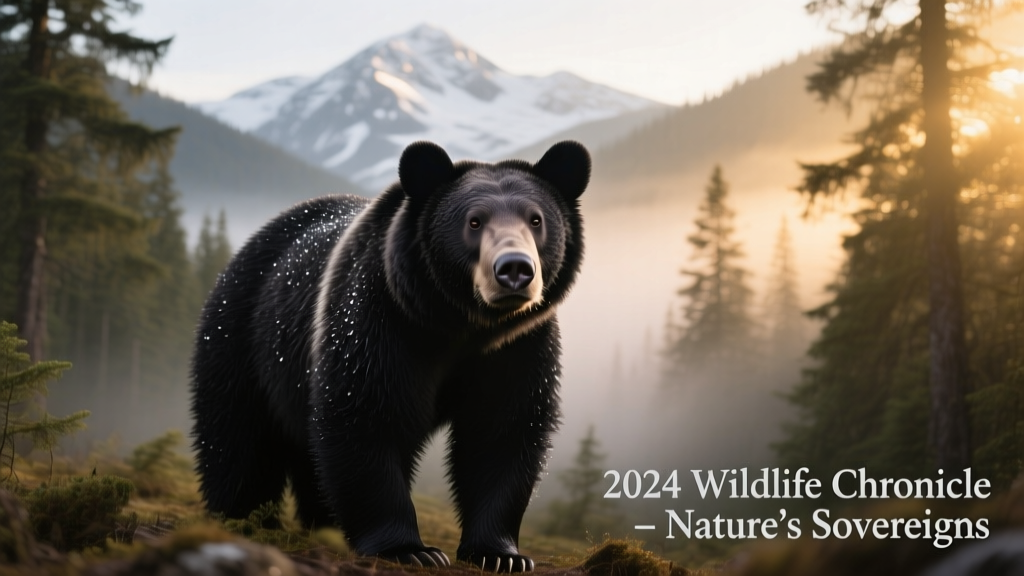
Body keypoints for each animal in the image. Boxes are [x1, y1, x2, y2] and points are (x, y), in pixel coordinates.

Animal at [190, 140, 589, 572]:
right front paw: (411, 549)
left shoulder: (519, 346)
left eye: (536, 219)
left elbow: (501, 430)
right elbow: (366, 417)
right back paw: (241, 518)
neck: (459, 324)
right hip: (243, 336)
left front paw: (500, 554)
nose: (514, 269)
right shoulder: (378, 321)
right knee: (238, 437)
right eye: (474, 222)